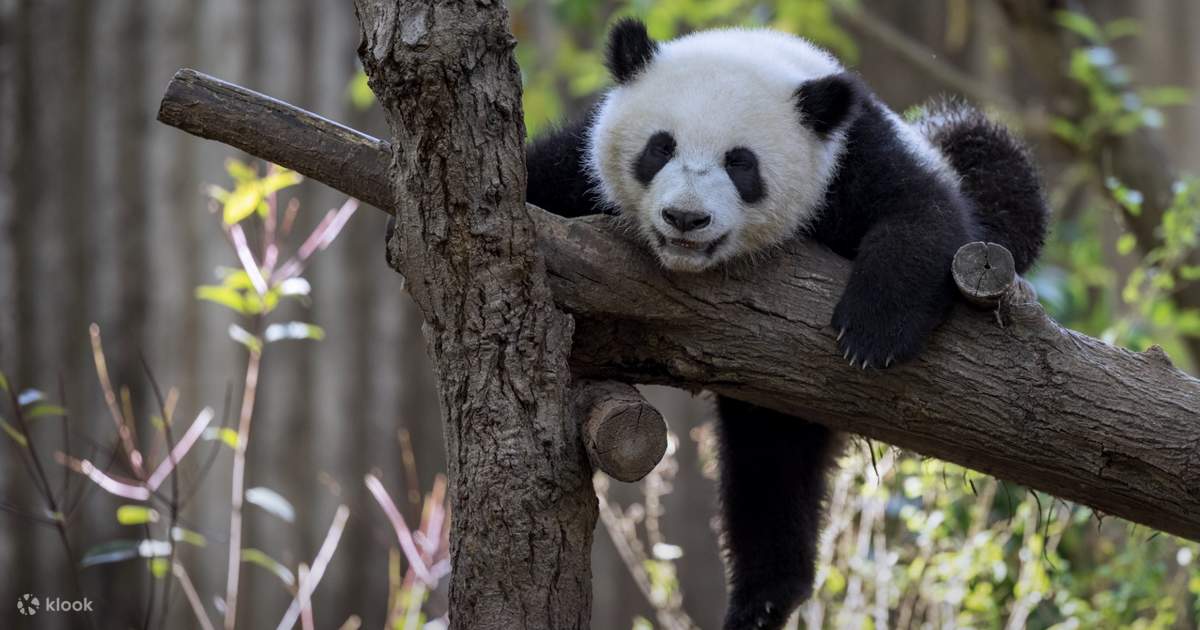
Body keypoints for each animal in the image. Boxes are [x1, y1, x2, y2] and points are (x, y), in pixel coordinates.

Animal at [523, 19, 1048, 630]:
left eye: (740, 163)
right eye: (660, 147)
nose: (685, 219)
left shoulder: (855, 155)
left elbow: (926, 217)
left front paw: (872, 331)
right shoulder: (577, 167)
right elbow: (537, 179)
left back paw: (765, 597)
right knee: (769, 468)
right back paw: (765, 597)